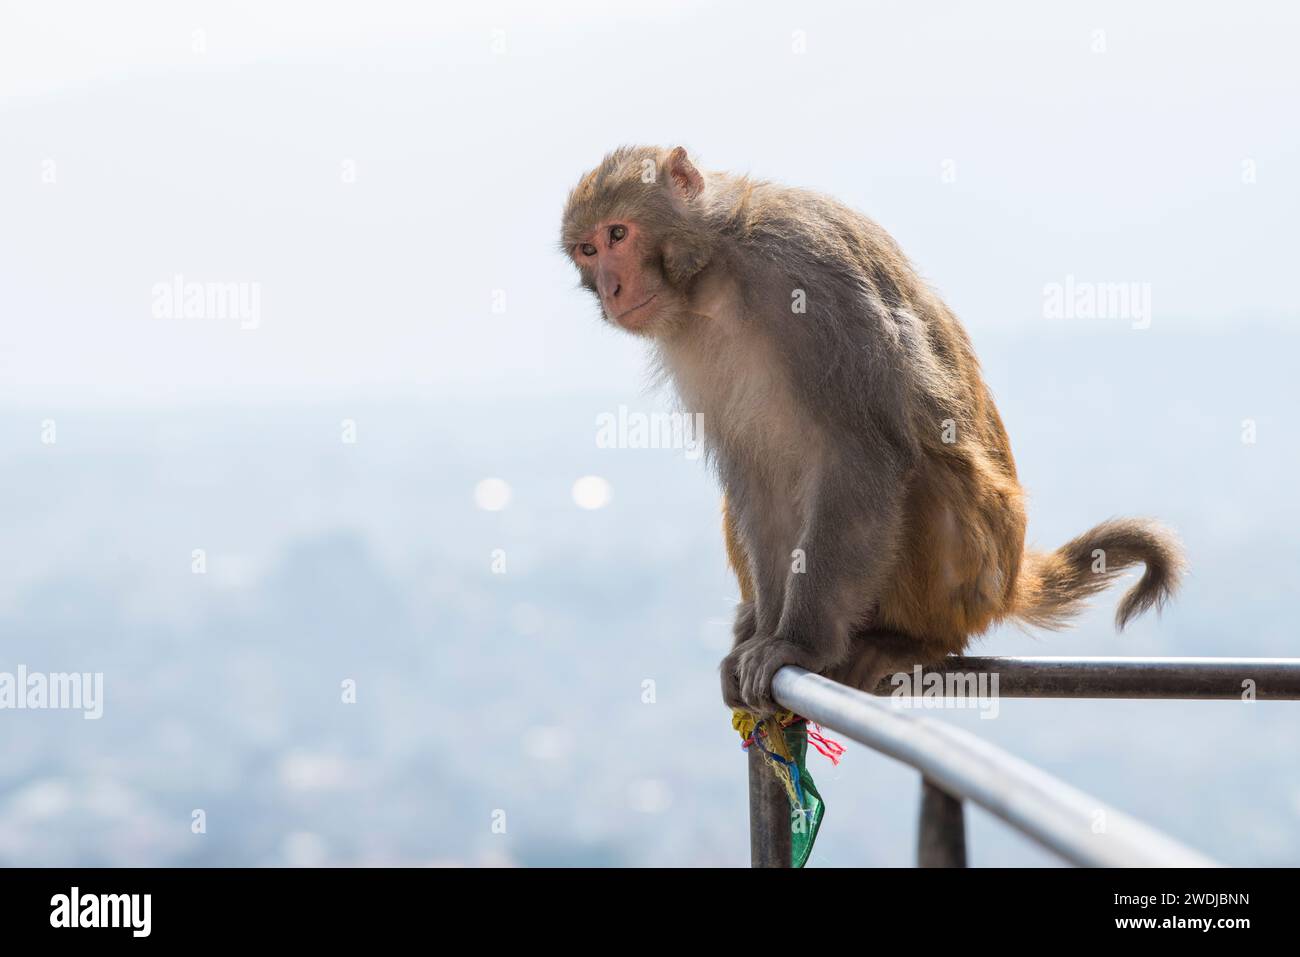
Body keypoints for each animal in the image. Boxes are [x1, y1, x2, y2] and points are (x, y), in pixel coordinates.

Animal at [561, 145, 1184, 715]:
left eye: (618, 233)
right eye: (589, 250)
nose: (611, 289)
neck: (718, 269)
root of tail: (1008, 584)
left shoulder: (811, 279)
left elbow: (861, 454)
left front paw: (796, 645)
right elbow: (757, 480)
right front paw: (764, 636)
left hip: (976, 576)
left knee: (925, 472)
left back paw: (908, 641)